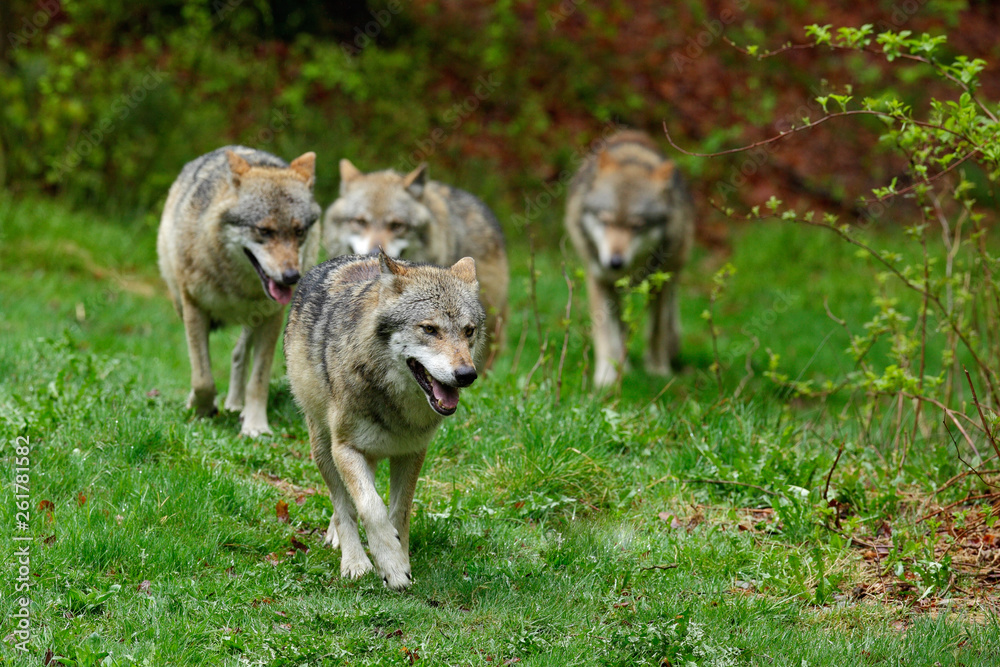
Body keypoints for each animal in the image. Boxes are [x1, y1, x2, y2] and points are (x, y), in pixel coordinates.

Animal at [157, 146, 321, 437]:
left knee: (238, 354)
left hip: (254, 322)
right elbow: (202, 378)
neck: (237, 286)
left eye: (299, 231)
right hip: (181, 304)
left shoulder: (272, 318)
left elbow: (258, 381)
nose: (291, 277)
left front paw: (255, 425)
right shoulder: (194, 308)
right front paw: (202, 409)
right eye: (264, 231)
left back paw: (237, 406)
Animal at [284, 250, 485, 590]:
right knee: (342, 505)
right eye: (429, 329)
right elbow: (370, 507)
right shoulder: (346, 449)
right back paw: (353, 561)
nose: (466, 375)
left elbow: (399, 511)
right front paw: (390, 564)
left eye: (468, 331)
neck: (394, 404)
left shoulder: (412, 453)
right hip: (323, 447)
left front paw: (400, 557)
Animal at [565, 130, 695, 388]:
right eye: (605, 220)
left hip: (673, 272)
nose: (615, 262)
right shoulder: (598, 280)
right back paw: (623, 364)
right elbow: (606, 333)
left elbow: (657, 330)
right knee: (620, 328)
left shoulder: (658, 283)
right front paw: (606, 376)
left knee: (668, 315)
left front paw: (658, 370)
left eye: (637, 226)